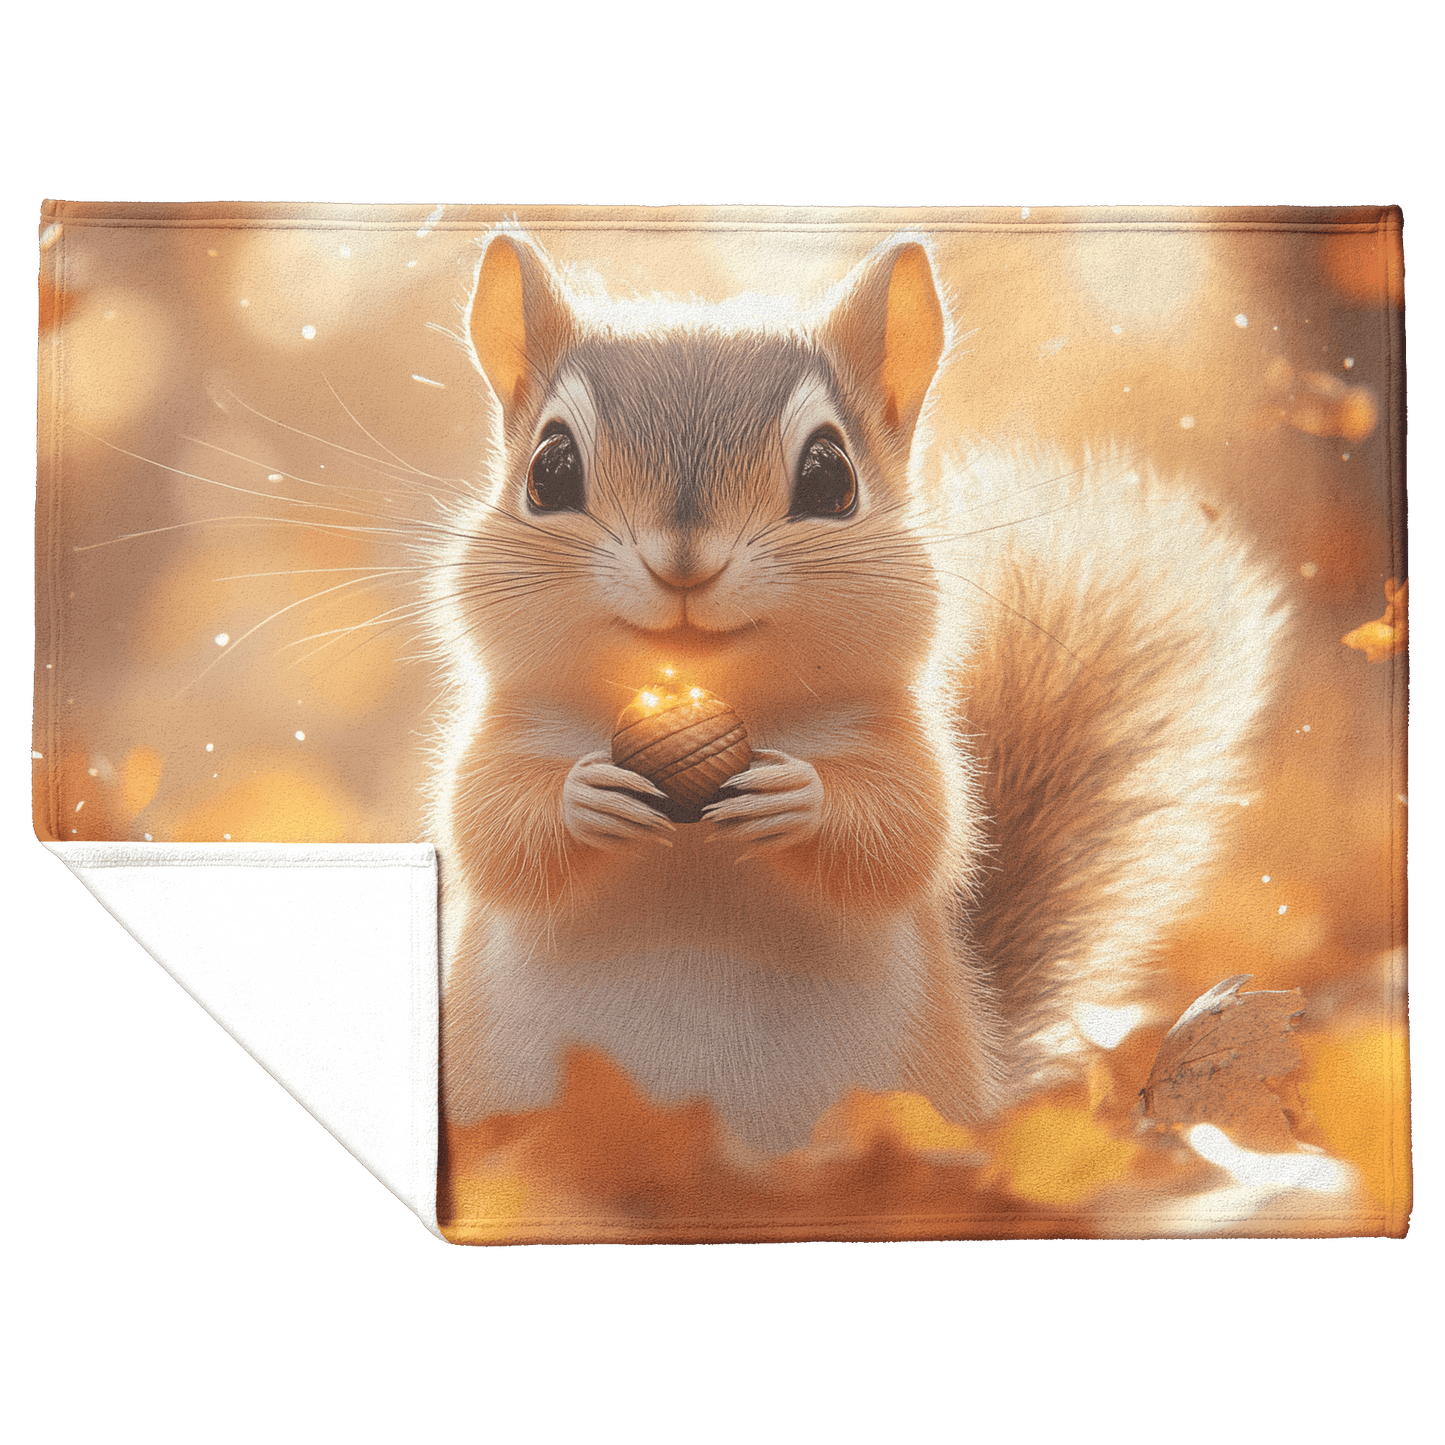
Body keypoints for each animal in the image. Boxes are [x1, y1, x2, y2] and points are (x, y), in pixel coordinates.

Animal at [430, 225, 1285, 1153]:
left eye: (829, 476)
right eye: (549, 470)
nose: (683, 563)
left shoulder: (904, 743)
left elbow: (906, 827)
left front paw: (798, 795)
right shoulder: (502, 733)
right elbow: (488, 823)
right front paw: (584, 794)